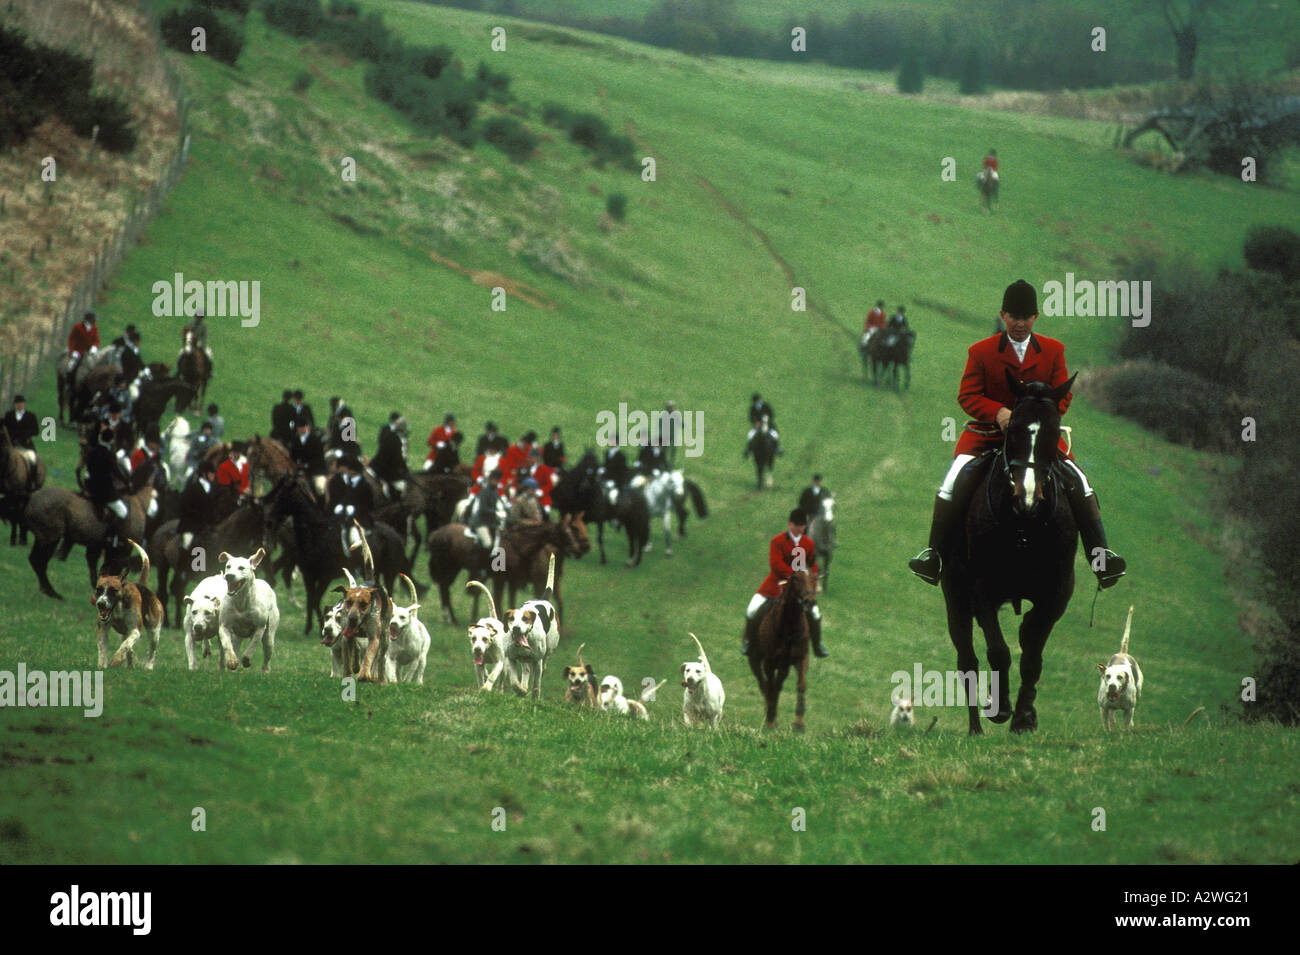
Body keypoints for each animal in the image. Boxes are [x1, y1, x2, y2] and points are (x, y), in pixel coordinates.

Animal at [754, 574, 811, 732]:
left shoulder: (798, 659)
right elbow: (771, 686)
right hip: (755, 659)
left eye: (812, 576)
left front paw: (799, 723)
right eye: (796, 579)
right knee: (763, 683)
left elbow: (801, 685)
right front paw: (770, 720)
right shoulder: (769, 663)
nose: (808, 600)